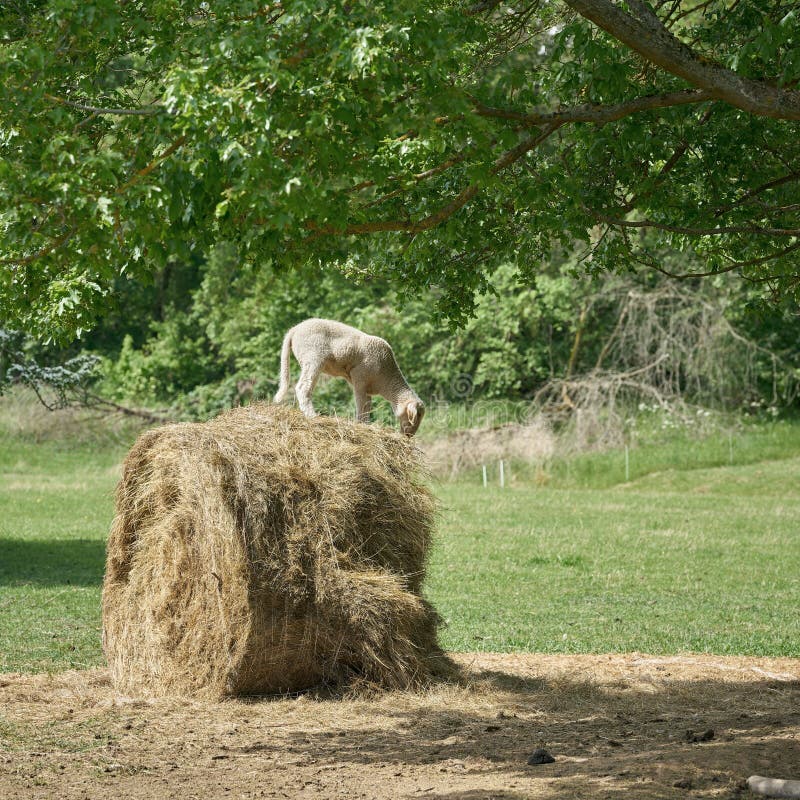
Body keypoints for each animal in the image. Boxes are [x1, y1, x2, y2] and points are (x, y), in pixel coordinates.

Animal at [273, 318, 425, 436]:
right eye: (416, 416)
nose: (409, 436)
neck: (386, 379)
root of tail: (294, 330)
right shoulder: (360, 379)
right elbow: (361, 405)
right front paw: (361, 424)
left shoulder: (366, 387)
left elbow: (367, 406)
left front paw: (366, 424)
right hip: (313, 357)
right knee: (303, 387)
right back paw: (312, 416)